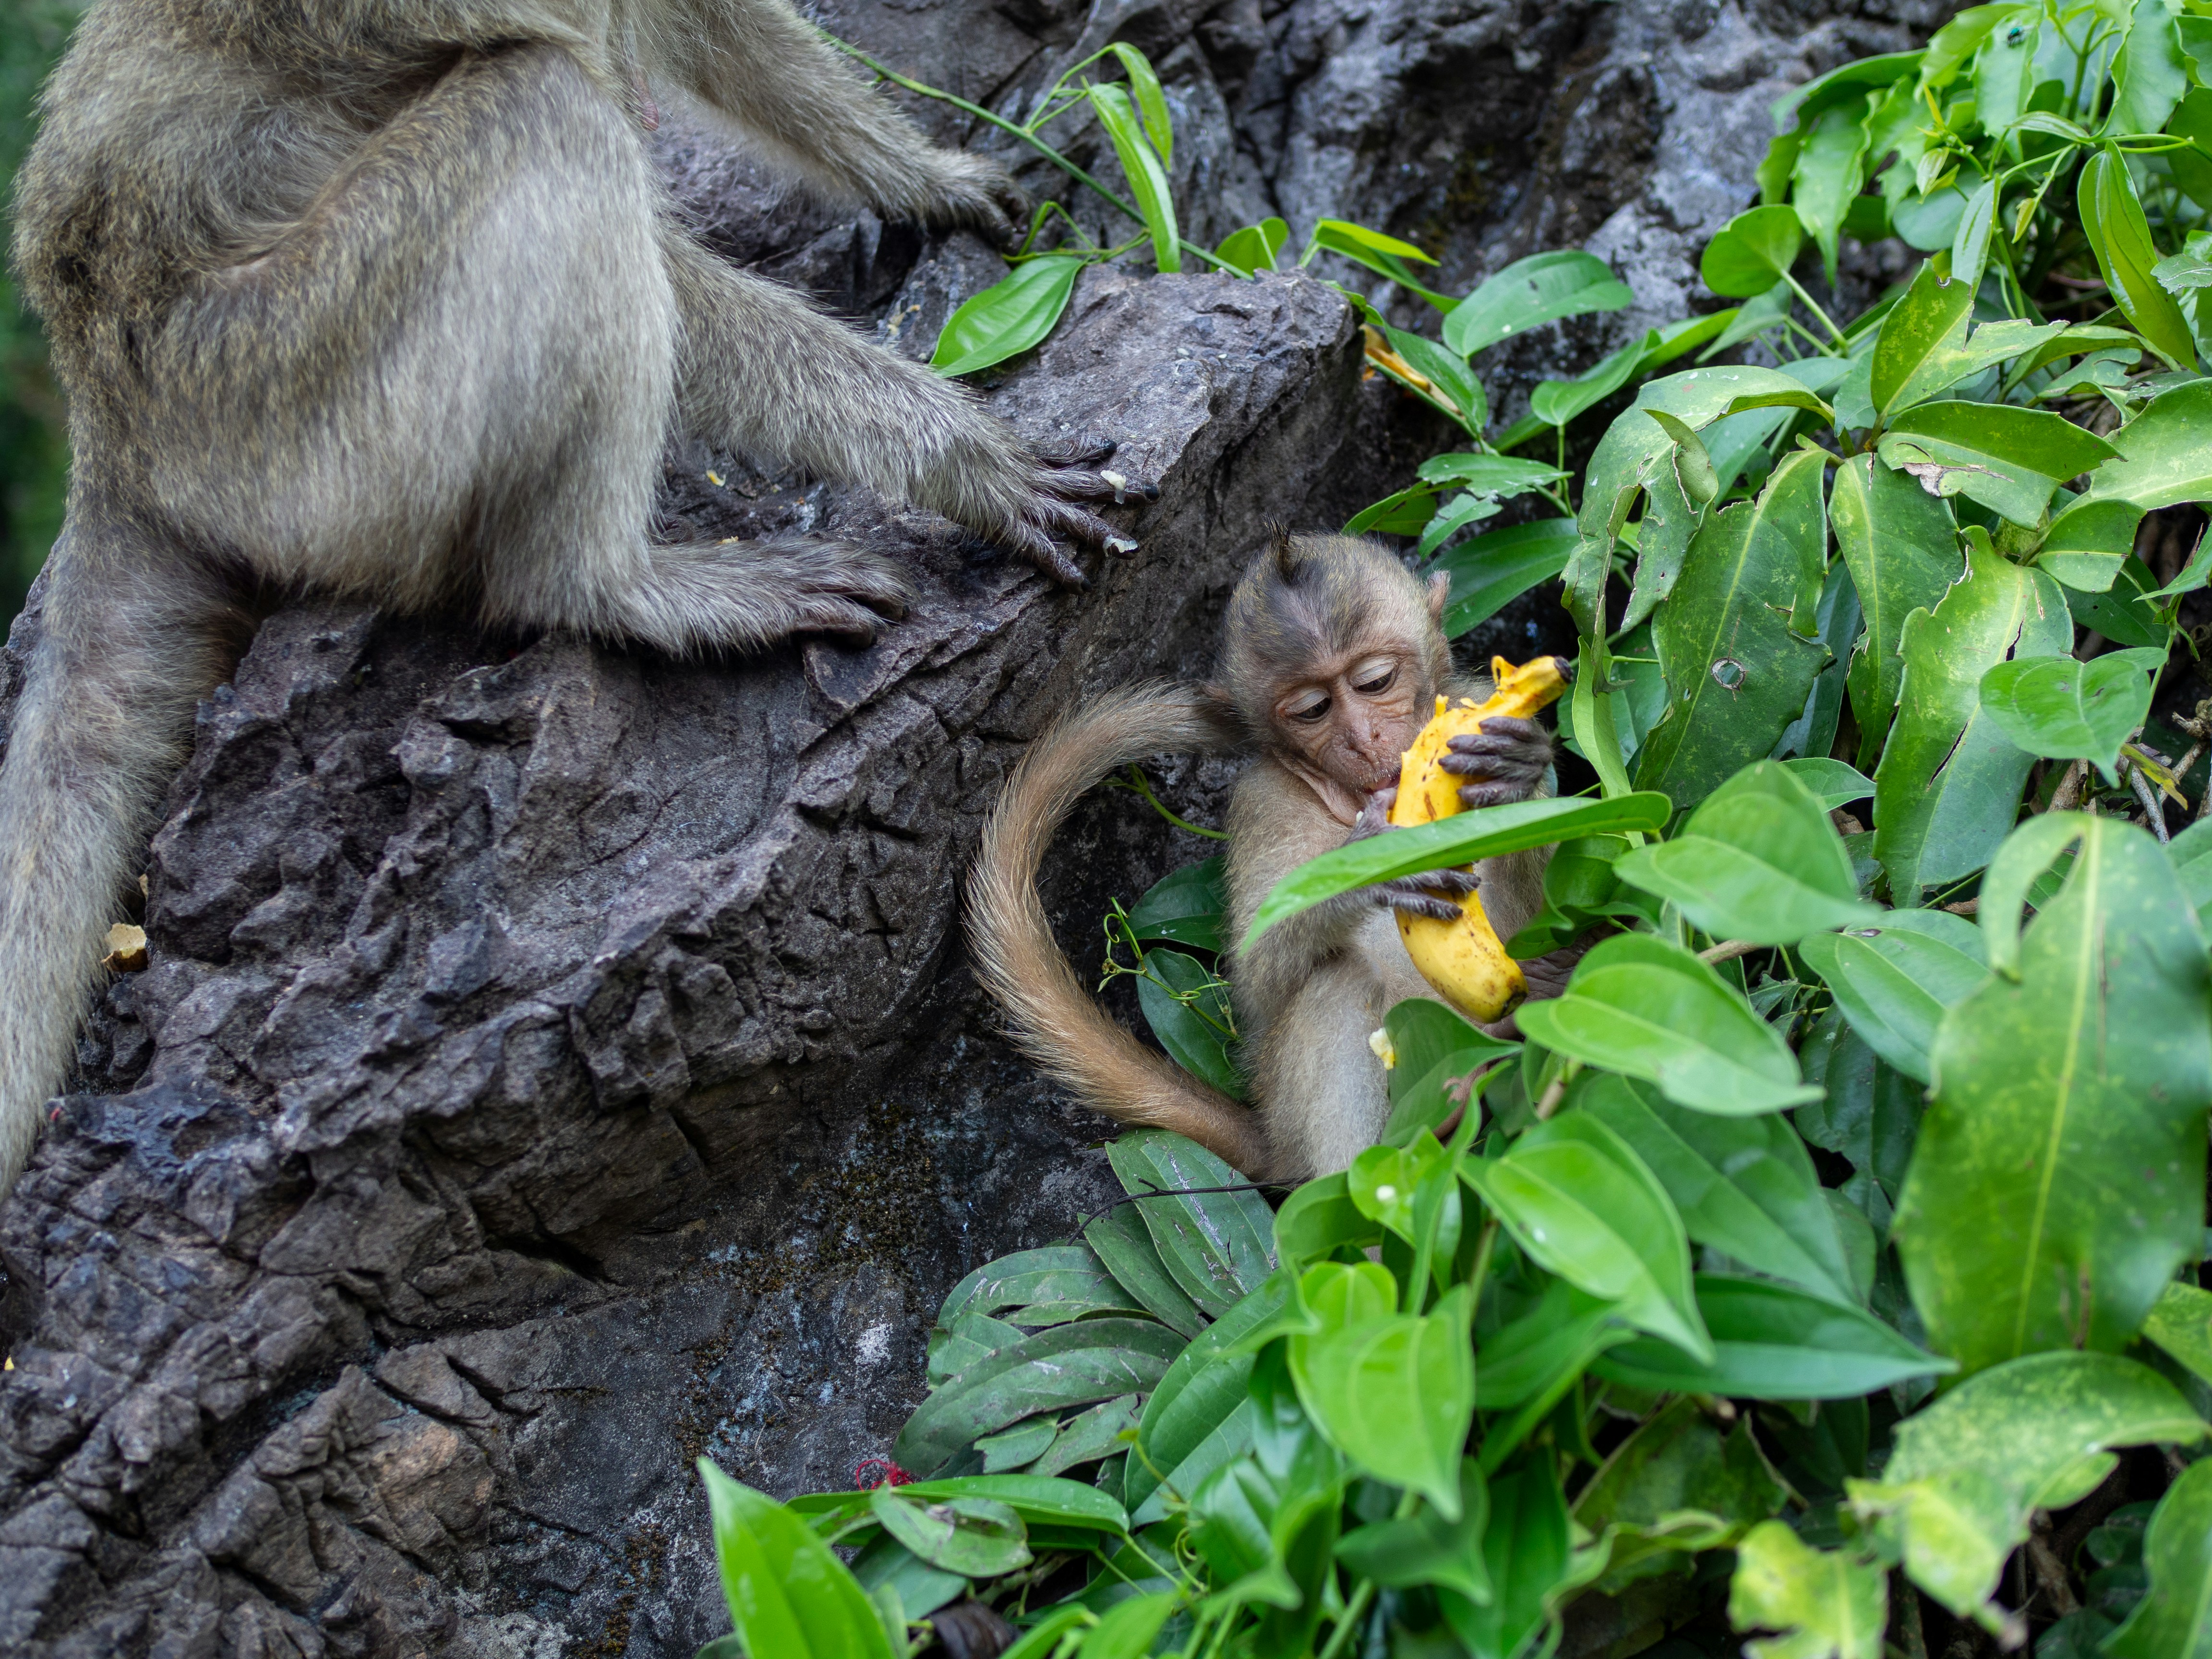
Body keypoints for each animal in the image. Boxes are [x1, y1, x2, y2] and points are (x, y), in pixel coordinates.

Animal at [0, 0, 1150, 1204]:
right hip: (296, 404)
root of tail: (110, 414)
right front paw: (965, 460)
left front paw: (927, 177)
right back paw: (609, 584)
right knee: (540, 106)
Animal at [967, 533, 1568, 1181]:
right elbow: (1257, 980)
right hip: (1297, 1112)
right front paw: (1368, 868)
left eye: (1375, 681)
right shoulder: (1264, 800)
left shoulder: (1476, 703)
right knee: (1336, 984)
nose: (1364, 740)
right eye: (1313, 710)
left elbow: (1556, 904)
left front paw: (1515, 773)